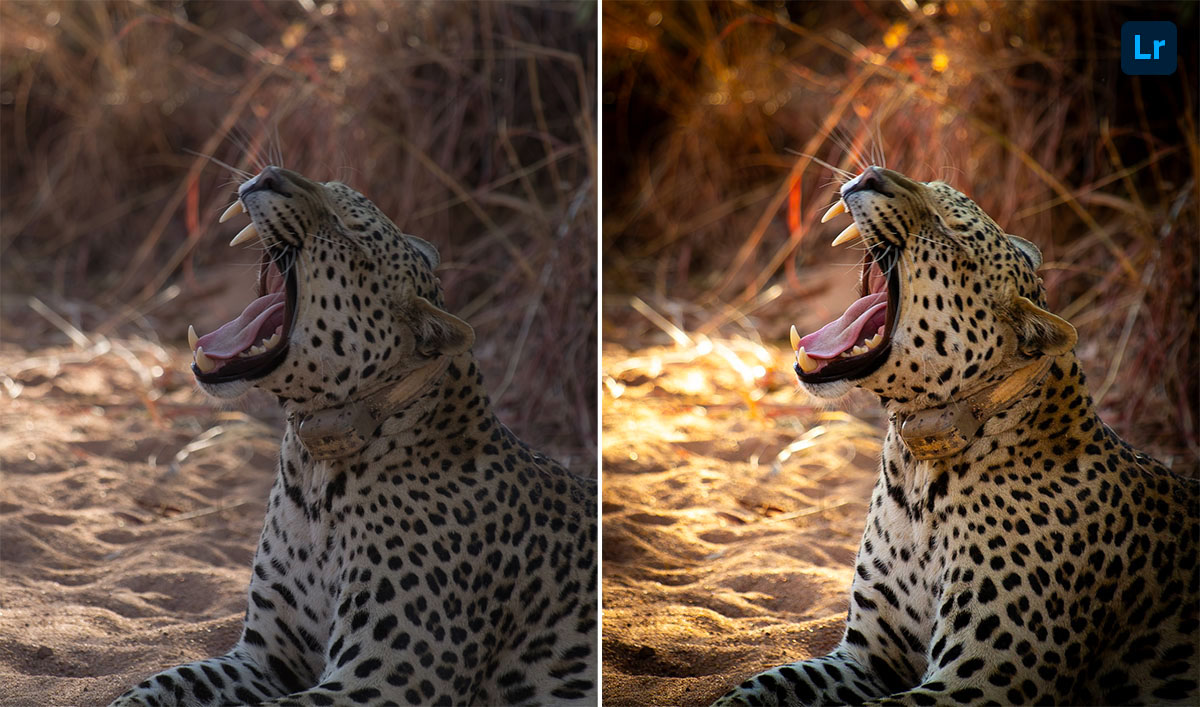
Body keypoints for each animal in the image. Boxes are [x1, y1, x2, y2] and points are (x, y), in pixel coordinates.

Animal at [110, 166, 597, 706]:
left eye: (349, 228)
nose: (270, 174)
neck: (316, 474)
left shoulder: (384, 681)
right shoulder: (266, 660)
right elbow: (164, 681)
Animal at [712, 166, 1198, 706]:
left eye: (951, 228)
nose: (871, 174)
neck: (919, 475)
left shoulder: (980, 683)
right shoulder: (867, 659)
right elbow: (765, 681)